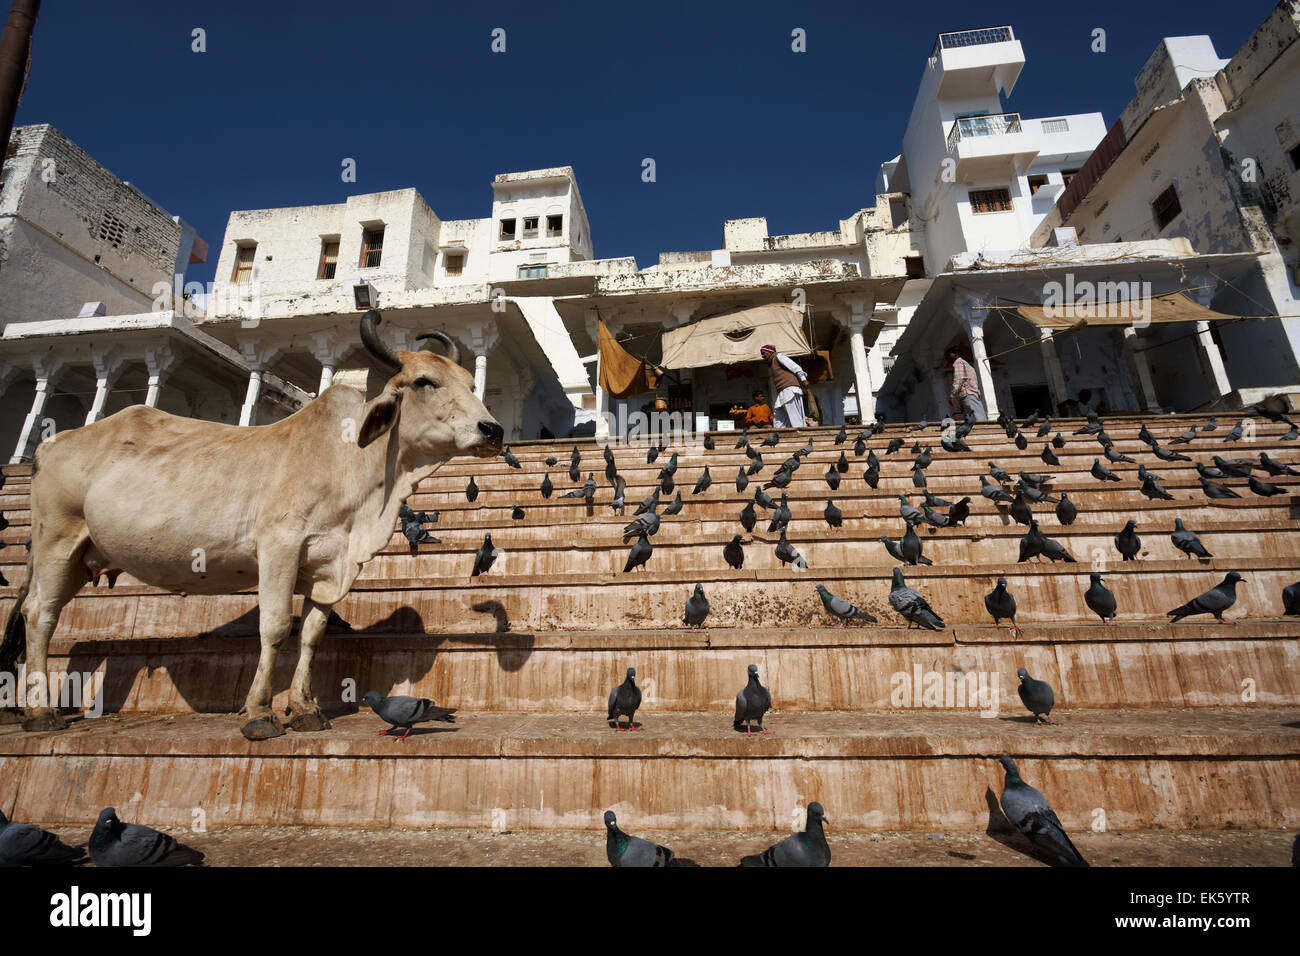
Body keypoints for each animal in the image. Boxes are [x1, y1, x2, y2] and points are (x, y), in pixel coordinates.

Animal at [0, 310, 503, 740]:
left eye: (469, 382)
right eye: (424, 382)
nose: (492, 430)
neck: (353, 462)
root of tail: (53, 444)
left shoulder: (328, 565)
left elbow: (312, 634)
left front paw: (303, 709)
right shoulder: (279, 547)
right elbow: (276, 627)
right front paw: (260, 713)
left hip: (81, 556)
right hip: (57, 540)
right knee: (40, 616)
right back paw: (40, 712)